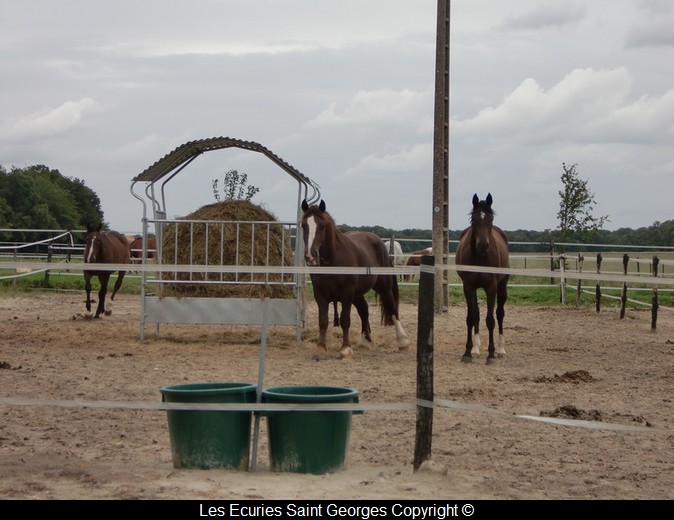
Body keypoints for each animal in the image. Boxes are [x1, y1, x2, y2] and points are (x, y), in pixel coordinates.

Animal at [300, 199, 411, 360]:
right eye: (303, 225)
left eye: (322, 226)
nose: (310, 255)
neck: (333, 262)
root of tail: (378, 241)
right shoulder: (320, 295)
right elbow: (323, 320)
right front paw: (320, 349)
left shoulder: (347, 294)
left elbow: (345, 320)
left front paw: (345, 349)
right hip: (358, 294)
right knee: (364, 310)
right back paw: (365, 341)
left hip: (383, 288)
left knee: (392, 308)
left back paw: (403, 342)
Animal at [455, 193, 509, 364]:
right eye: (474, 219)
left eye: (490, 219)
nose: (483, 245)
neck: (480, 258)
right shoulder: (468, 286)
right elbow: (472, 317)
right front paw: (468, 352)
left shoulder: (491, 287)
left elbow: (490, 320)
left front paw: (491, 354)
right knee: (477, 314)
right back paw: (476, 349)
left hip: (502, 286)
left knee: (500, 314)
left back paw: (501, 350)